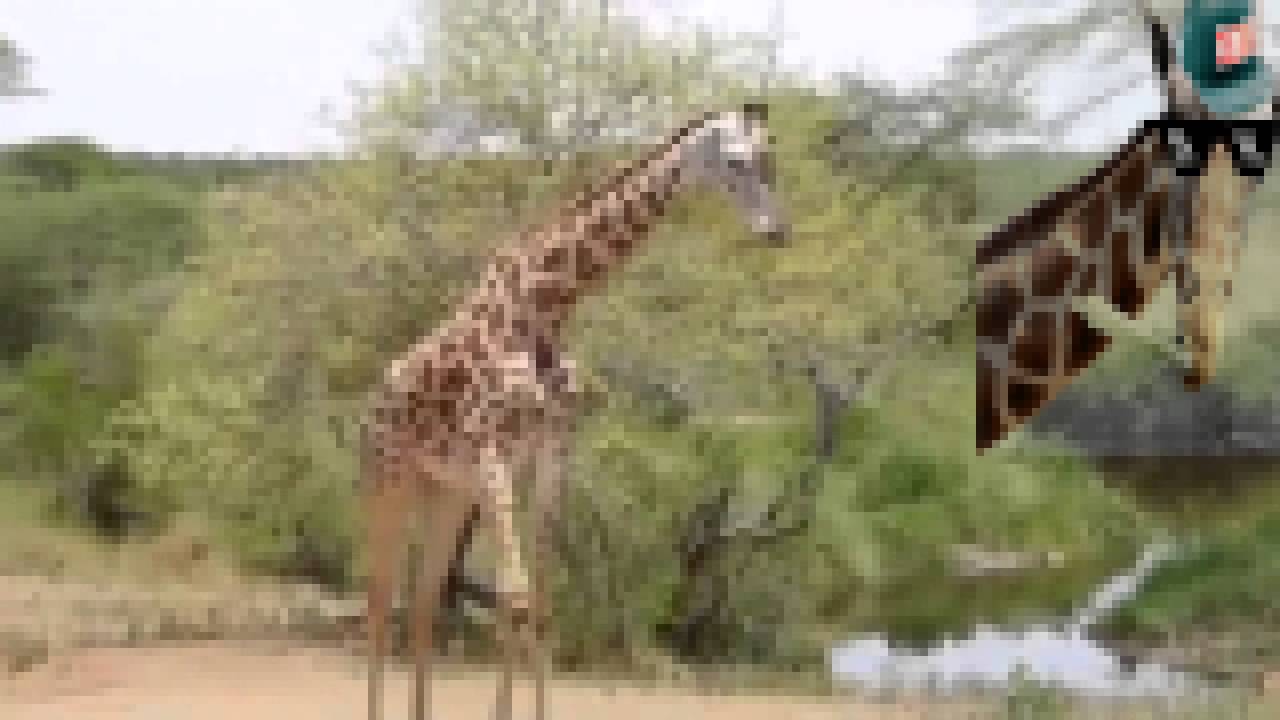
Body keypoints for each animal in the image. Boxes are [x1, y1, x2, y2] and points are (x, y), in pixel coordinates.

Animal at [360, 102, 788, 720]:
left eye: (770, 156)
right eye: (735, 161)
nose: (777, 230)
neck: (548, 307)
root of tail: (375, 399)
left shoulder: (549, 450)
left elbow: (537, 603)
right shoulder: (490, 446)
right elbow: (514, 597)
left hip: (445, 490)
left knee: (422, 599)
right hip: (387, 475)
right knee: (379, 596)